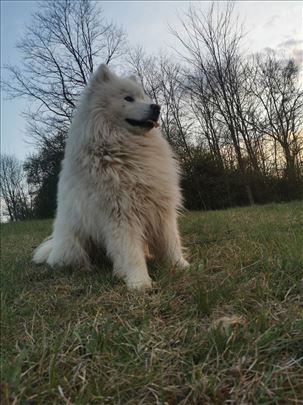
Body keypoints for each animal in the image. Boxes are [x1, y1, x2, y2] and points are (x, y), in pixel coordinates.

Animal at [33, 64, 190, 288]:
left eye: (144, 97)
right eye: (128, 98)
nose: (157, 107)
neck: (126, 148)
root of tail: (54, 248)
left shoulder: (161, 209)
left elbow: (171, 242)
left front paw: (182, 266)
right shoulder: (121, 214)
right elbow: (130, 251)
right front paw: (139, 282)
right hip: (75, 243)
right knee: (78, 260)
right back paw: (90, 269)